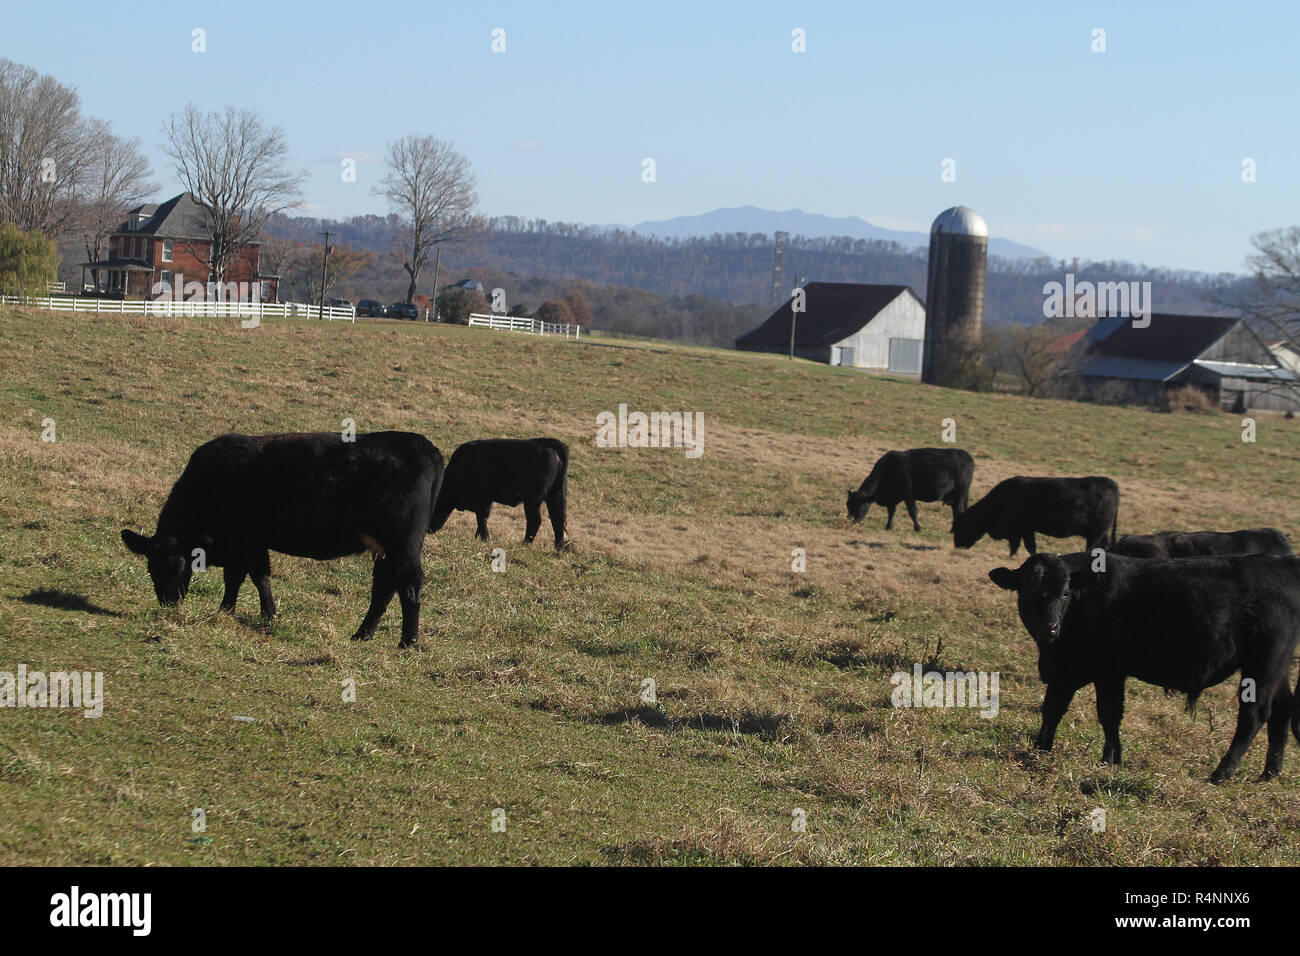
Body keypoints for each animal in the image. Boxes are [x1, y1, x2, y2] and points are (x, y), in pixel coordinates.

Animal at [121, 431, 444, 648]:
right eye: (151, 568)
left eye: (175, 566)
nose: (168, 602)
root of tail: (424, 446)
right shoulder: (254, 542)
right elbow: (256, 577)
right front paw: (261, 614)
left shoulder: (243, 540)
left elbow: (239, 577)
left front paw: (232, 612)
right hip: (386, 548)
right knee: (385, 587)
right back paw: (362, 634)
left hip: (402, 545)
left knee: (409, 585)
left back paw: (407, 642)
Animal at [430, 438, 570, 549]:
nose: (429, 530)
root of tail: (548, 444)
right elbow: (481, 518)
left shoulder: (483, 499)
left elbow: (482, 517)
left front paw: (485, 538)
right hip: (554, 496)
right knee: (557, 519)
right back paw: (558, 548)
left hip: (533, 500)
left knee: (535, 520)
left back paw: (525, 543)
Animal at [846, 448, 974, 531]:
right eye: (848, 504)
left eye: (860, 505)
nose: (850, 519)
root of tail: (968, 456)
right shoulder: (892, 499)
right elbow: (891, 512)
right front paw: (888, 526)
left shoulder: (908, 495)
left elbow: (913, 512)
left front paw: (918, 528)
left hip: (961, 493)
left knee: (958, 510)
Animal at [952, 476, 1119, 556]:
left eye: (962, 526)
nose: (957, 546)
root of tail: (1111, 484)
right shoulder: (1023, 531)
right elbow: (1022, 546)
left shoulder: (1022, 530)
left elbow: (1025, 546)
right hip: (1100, 532)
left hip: (1096, 532)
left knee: (1092, 546)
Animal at [989, 552, 1300, 782]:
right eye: (1027, 591)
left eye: (1065, 592)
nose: (1049, 627)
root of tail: (1284, 562)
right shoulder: (1072, 669)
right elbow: (1055, 708)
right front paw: (1042, 749)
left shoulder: (1103, 670)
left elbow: (1105, 713)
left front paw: (1107, 759)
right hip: (1277, 669)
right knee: (1282, 710)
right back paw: (1270, 773)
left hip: (1263, 665)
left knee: (1254, 715)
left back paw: (1221, 773)